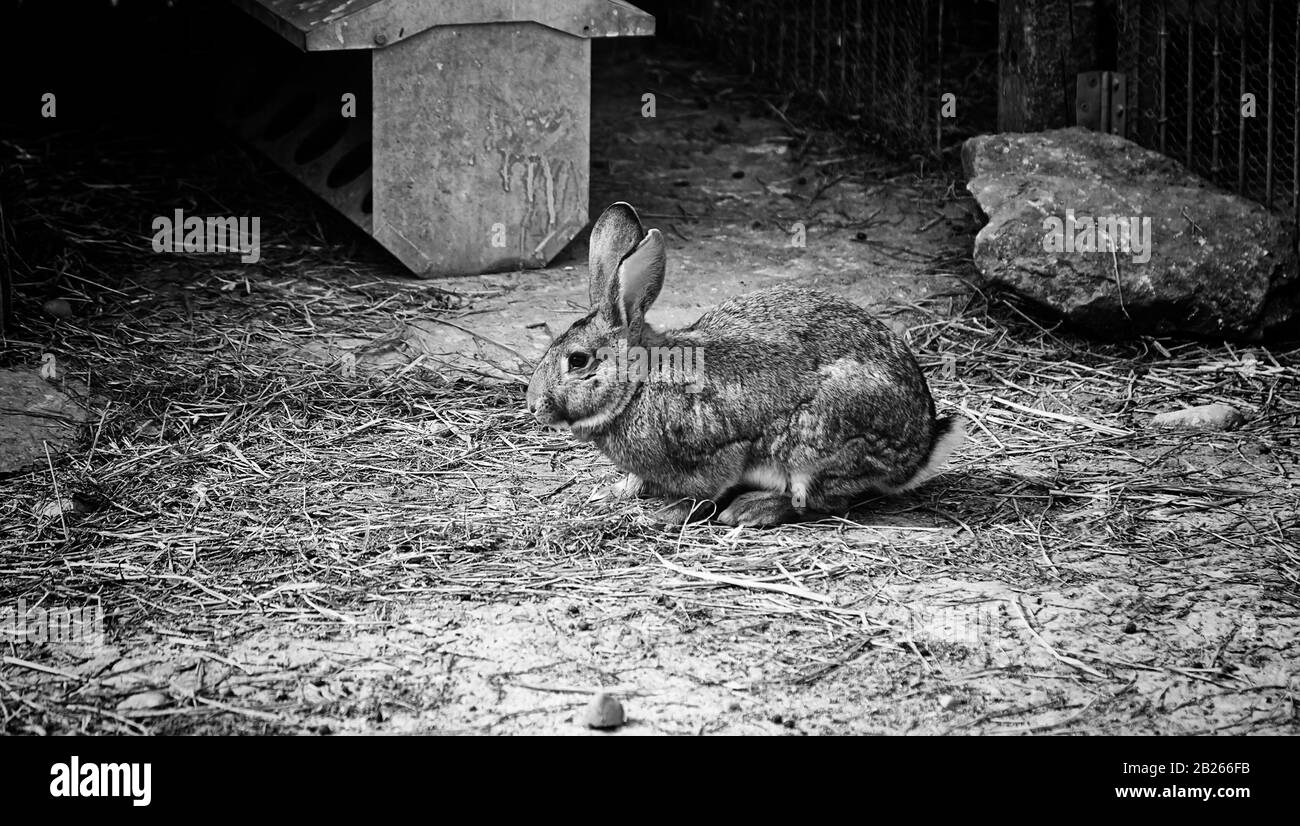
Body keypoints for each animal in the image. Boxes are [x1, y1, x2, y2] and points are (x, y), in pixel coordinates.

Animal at [526, 202, 964, 527]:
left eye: (578, 360)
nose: (532, 405)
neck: (639, 386)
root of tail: (920, 450)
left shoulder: (718, 452)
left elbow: (704, 492)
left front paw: (667, 514)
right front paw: (611, 491)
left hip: (819, 443)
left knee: (815, 501)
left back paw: (748, 510)